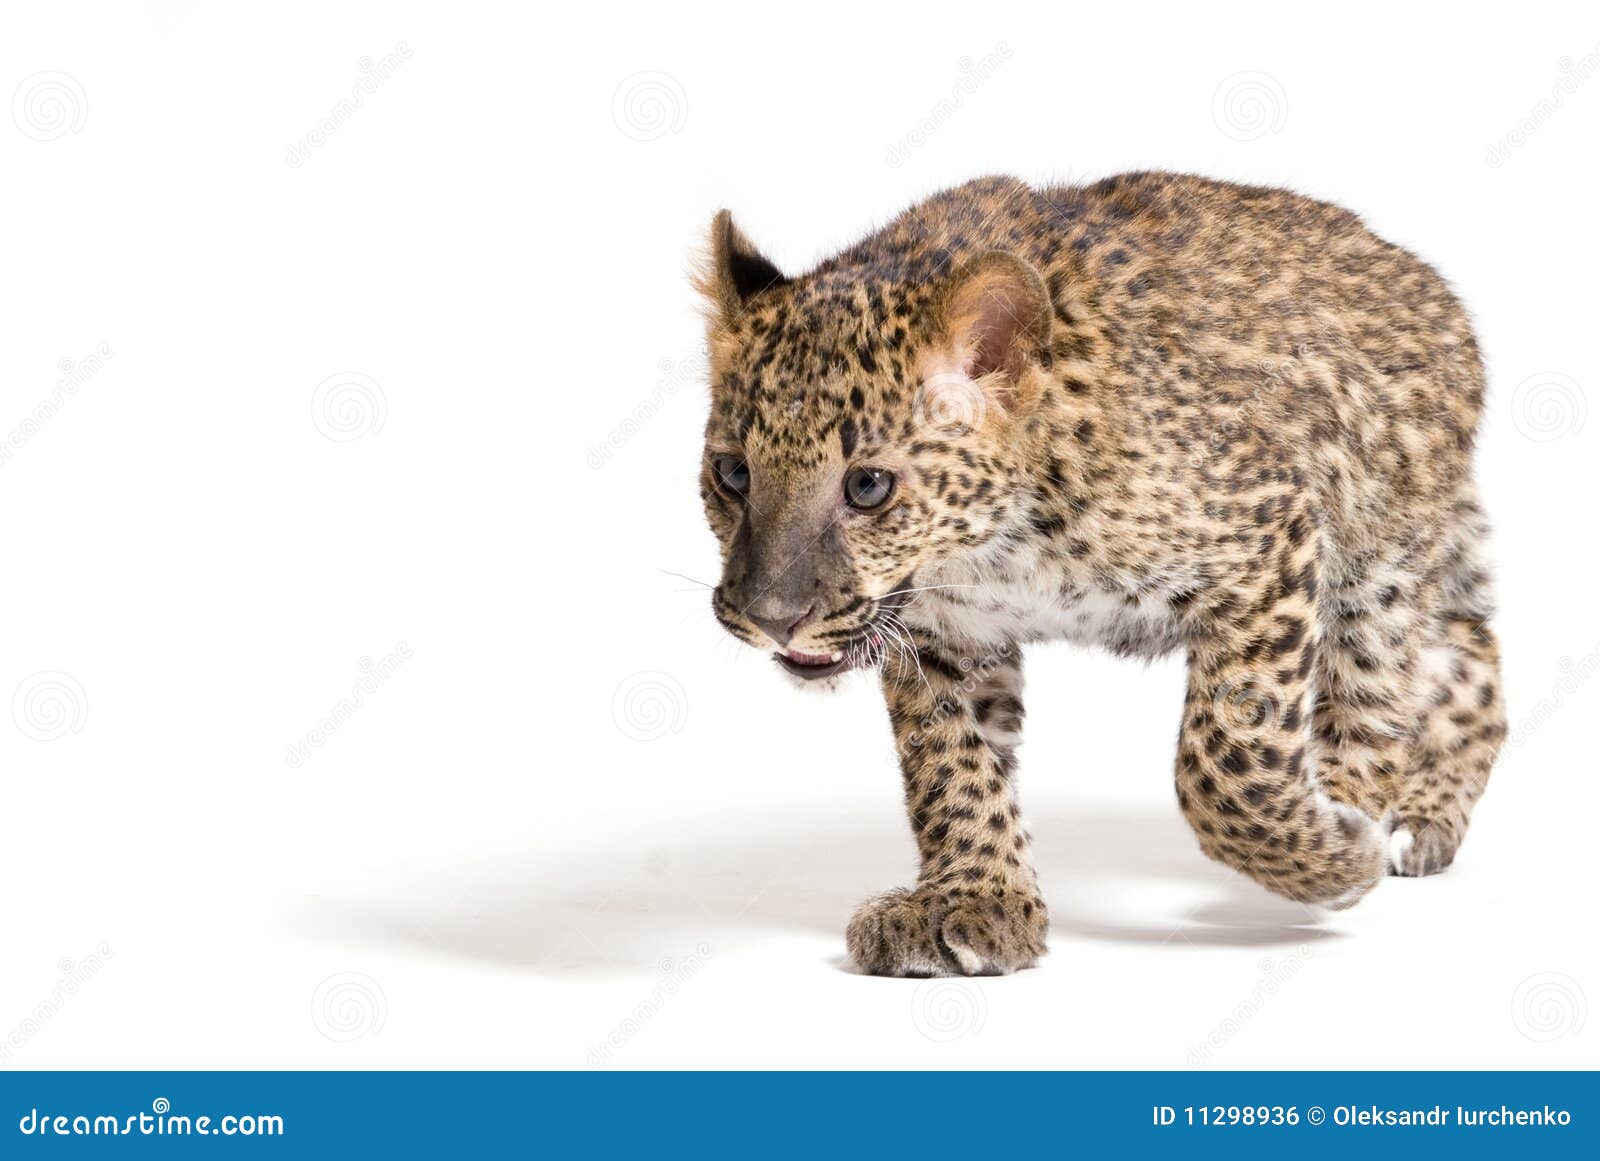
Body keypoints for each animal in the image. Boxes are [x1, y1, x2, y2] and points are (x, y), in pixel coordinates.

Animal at [693, 172, 1505, 977]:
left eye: (867, 487)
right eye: (732, 474)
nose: (770, 616)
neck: (997, 550)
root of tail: (1428, 285)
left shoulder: (1269, 536)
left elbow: (1222, 760)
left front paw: (1330, 858)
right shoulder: (940, 633)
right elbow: (950, 765)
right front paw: (976, 900)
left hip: (1377, 551)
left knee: (1391, 684)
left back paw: (1377, 812)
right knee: (1470, 655)